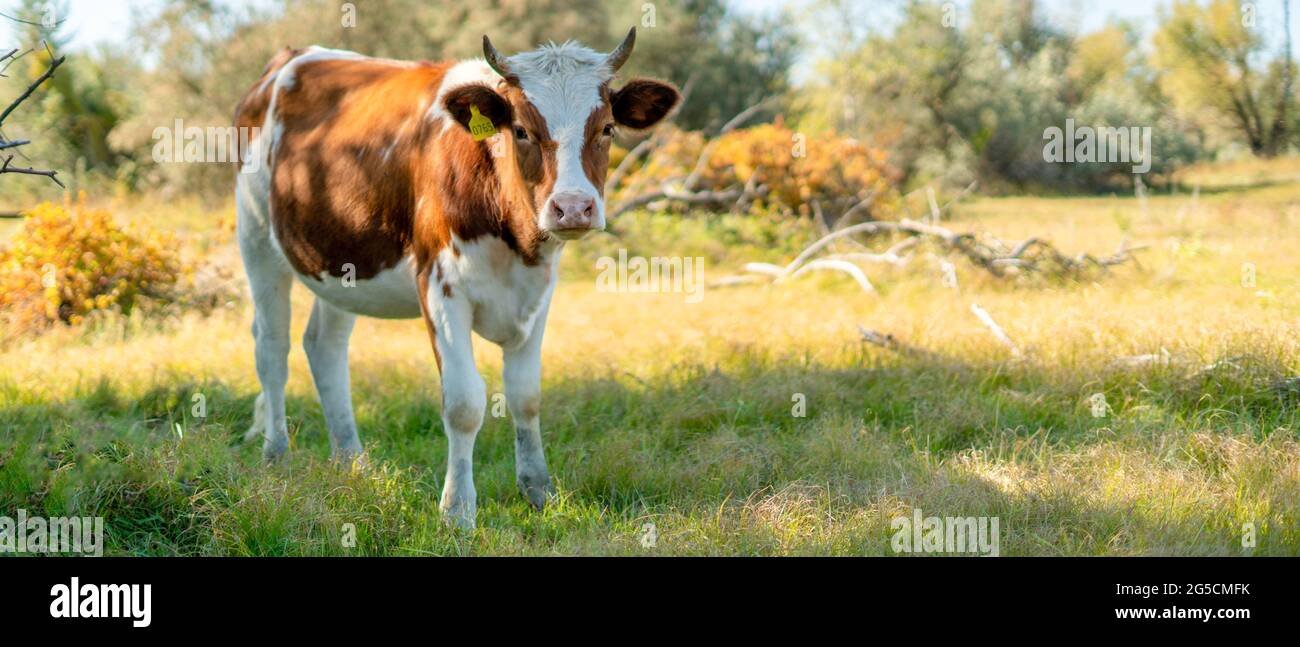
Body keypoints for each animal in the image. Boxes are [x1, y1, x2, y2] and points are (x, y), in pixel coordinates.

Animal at [232, 28, 679, 529]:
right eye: (521, 130)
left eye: (606, 129)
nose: (573, 208)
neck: (515, 242)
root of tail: (293, 57)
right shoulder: (441, 287)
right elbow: (464, 403)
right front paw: (458, 510)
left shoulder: (539, 292)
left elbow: (526, 395)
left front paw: (538, 491)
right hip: (256, 236)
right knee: (272, 348)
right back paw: (276, 454)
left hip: (341, 259)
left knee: (324, 346)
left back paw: (352, 463)